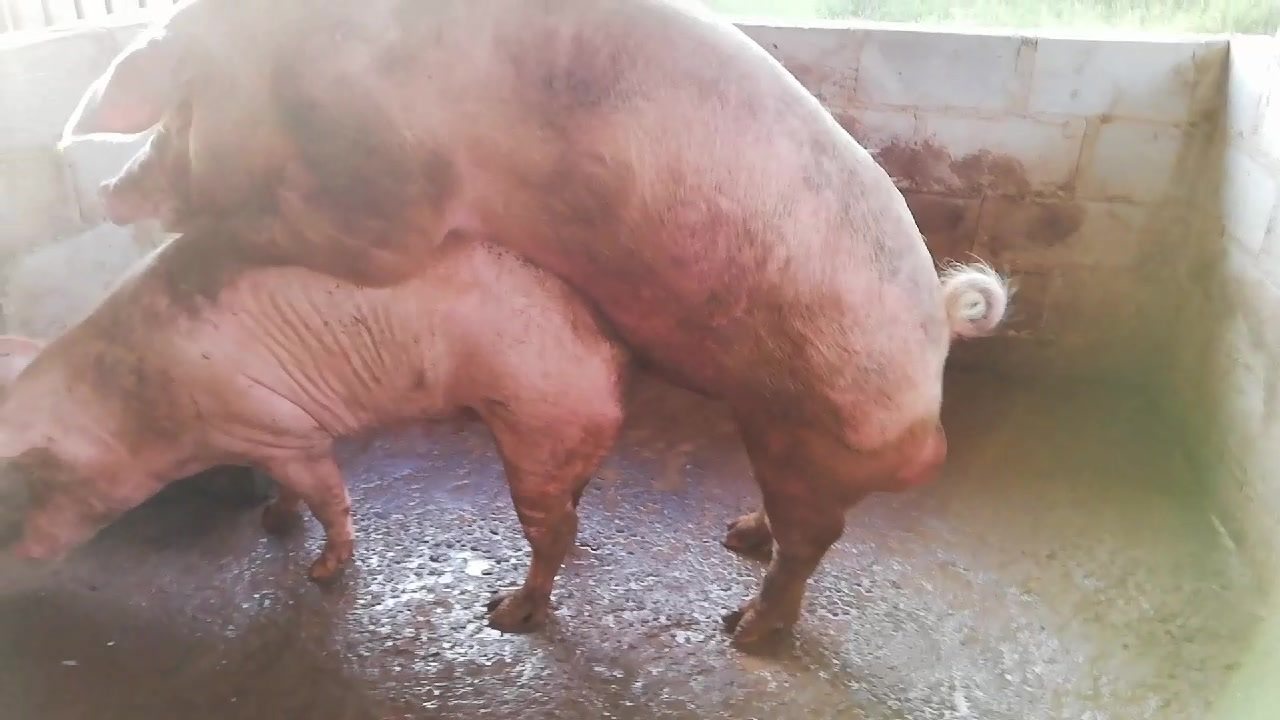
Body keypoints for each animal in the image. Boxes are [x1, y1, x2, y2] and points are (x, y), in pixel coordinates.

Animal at [0, 220, 629, 634]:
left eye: (28, 493)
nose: (19, 556)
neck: (140, 404)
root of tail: (605, 345)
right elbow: (290, 490)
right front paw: (271, 520)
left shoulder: (284, 430)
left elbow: (326, 495)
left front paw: (318, 571)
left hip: (539, 426)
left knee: (556, 531)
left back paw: (504, 614)